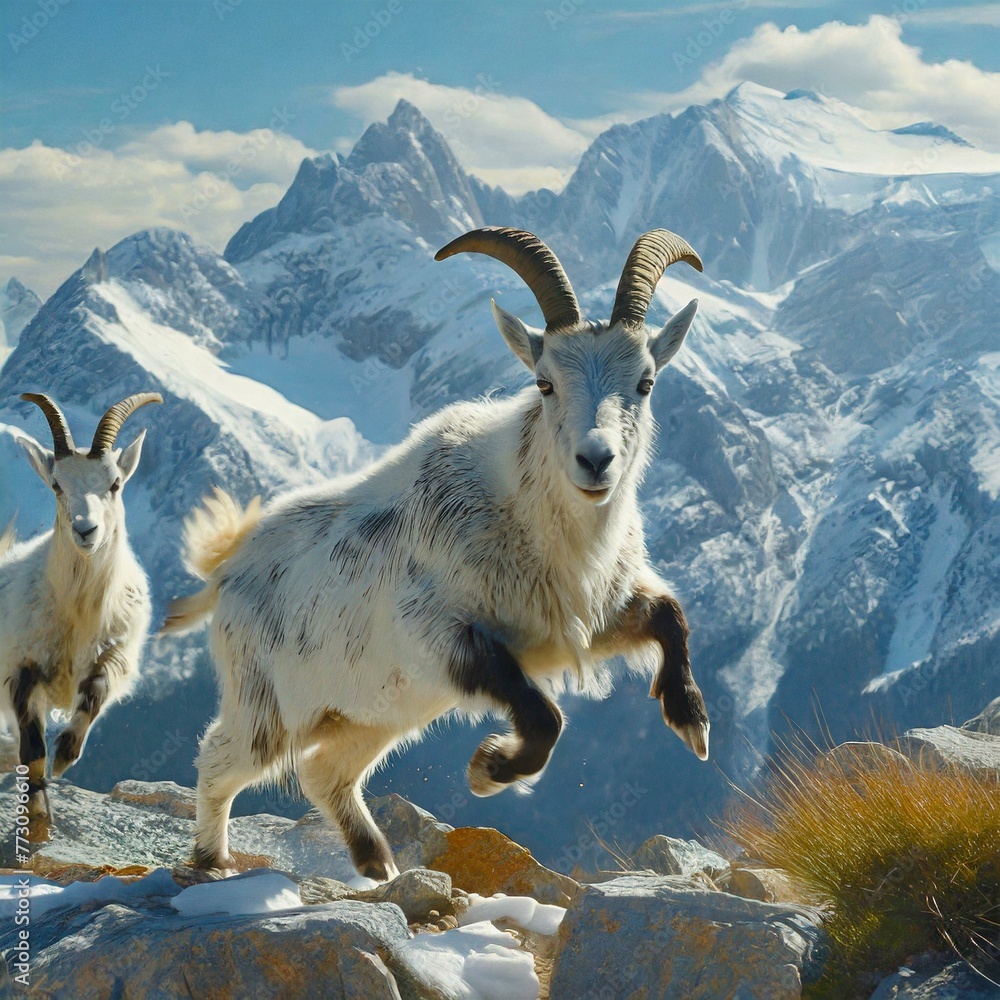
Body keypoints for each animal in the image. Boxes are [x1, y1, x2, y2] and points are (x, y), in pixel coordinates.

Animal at [1, 392, 160, 839]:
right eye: (57, 484)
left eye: (115, 483)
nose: (86, 530)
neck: (78, 613)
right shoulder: (21, 666)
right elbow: (31, 747)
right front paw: (38, 817)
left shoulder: (114, 656)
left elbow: (94, 699)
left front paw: (65, 756)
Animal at [164, 228, 709, 879]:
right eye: (545, 381)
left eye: (646, 382)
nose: (595, 461)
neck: (532, 521)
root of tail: (225, 573)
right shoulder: (442, 637)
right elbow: (545, 715)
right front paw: (489, 769)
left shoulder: (583, 621)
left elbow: (668, 616)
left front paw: (691, 719)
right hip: (270, 703)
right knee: (220, 757)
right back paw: (212, 858)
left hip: (373, 713)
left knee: (324, 770)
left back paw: (377, 862)